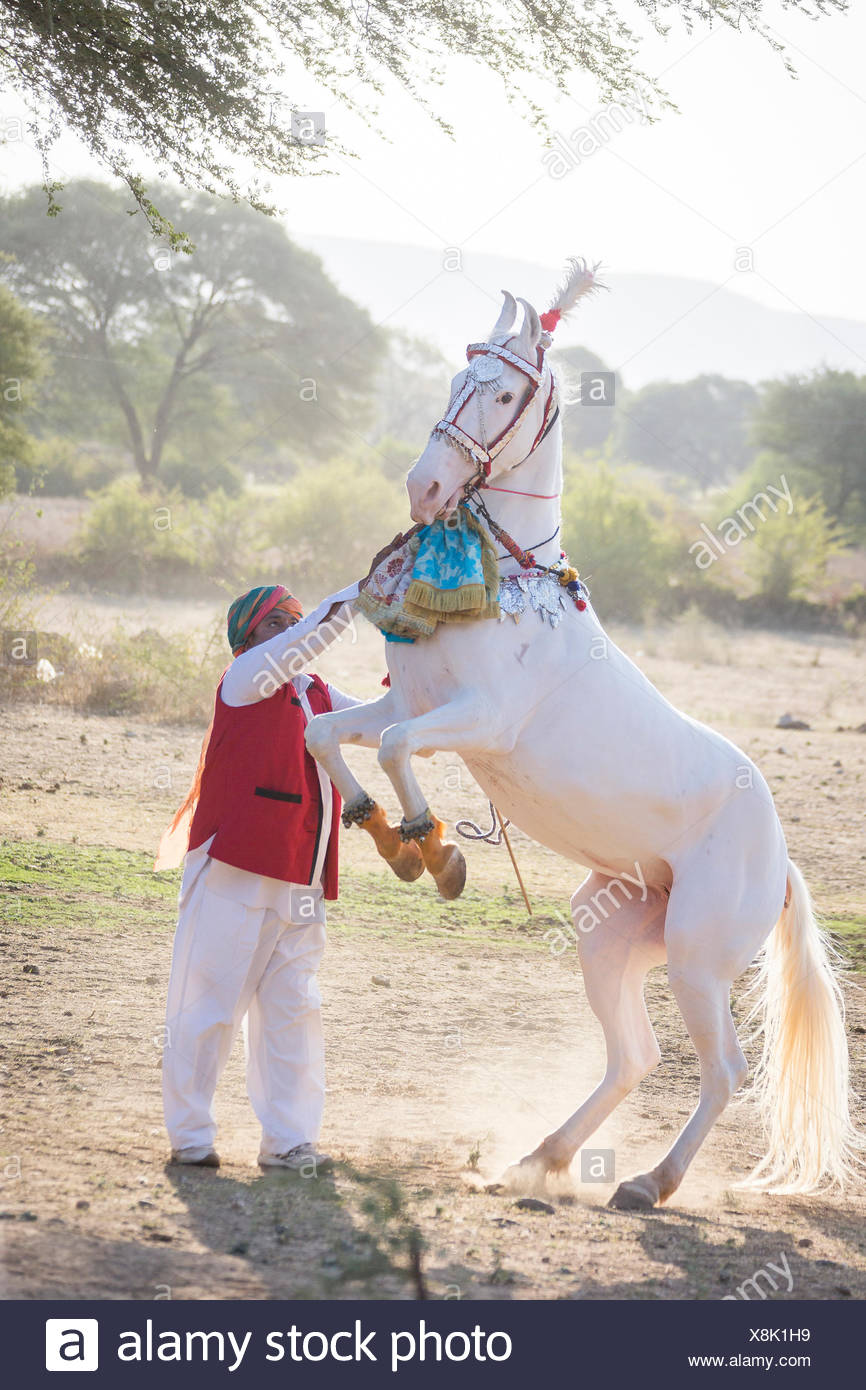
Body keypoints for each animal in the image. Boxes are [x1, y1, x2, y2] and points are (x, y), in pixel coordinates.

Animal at [304, 264, 858, 1208]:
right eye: (455, 379)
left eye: (502, 391)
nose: (424, 491)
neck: (510, 585)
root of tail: (781, 865)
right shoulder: (405, 702)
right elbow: (327, 734)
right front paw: (389, 837)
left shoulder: (479, 722)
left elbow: (396, 749)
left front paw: (435, 851)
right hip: (612, 936)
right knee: (634, 1054)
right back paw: (544, 1157)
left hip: (698, 961)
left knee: (723, 1070)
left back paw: (647, 1182)